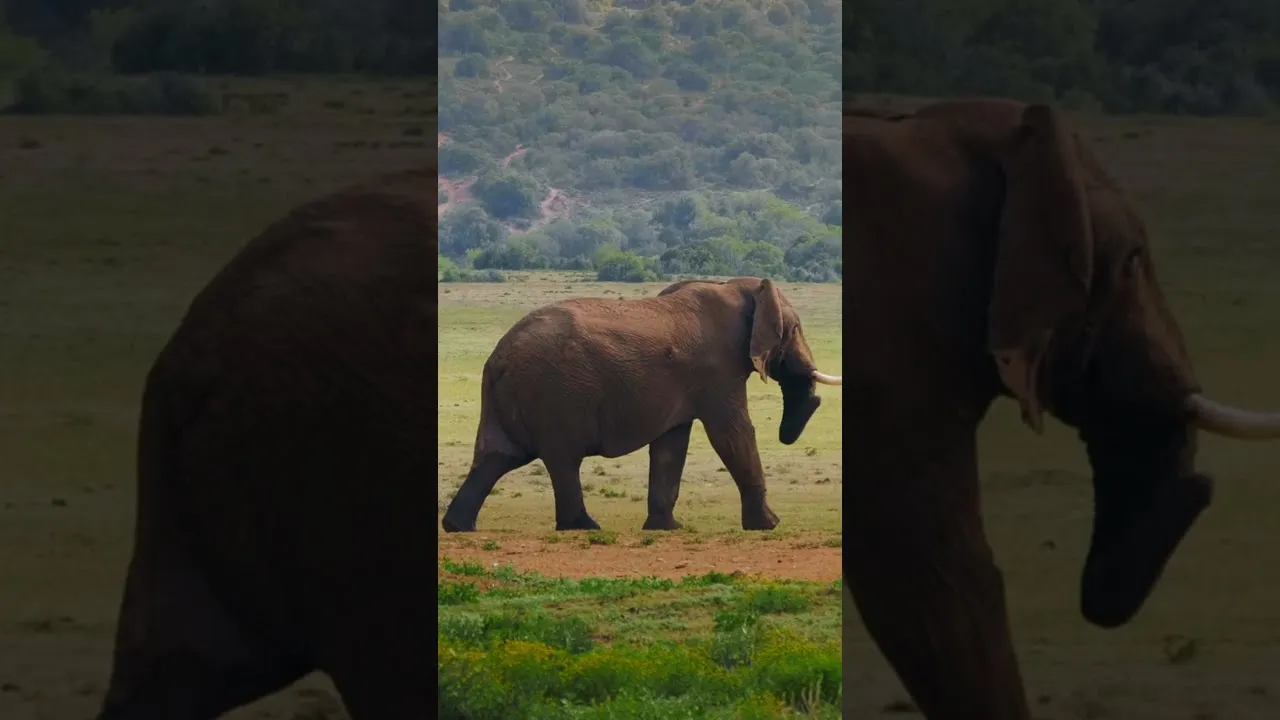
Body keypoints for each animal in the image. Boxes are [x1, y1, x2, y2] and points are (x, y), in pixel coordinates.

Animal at [439, 276, 842, 533]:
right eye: (795, 329)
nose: (788, 433)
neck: (735, 286)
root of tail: (497, 358)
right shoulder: (718, 369)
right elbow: (732, 434)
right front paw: (769, 526)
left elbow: (671, 445)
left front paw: (667, 529)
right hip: (554, 395)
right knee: (562, 459)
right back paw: (584, 527)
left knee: (498, 456)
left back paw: (459, 527)